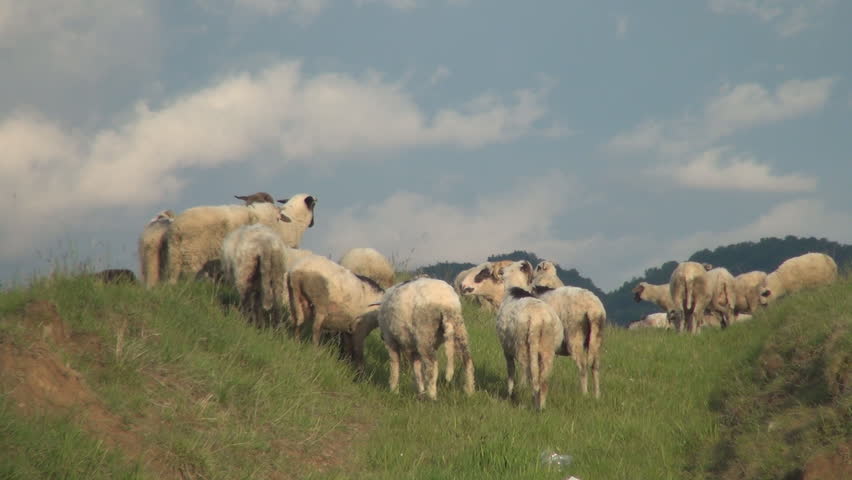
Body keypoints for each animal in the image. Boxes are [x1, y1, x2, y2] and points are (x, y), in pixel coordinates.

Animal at [163, 194, 316, 283]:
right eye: (313, 205)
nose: (312, 224)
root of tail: (178, 227)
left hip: (174, 253)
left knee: (173, 275)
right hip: (194, 253)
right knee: (190, 274)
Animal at [494, 260, 564, 410]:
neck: (515, 288)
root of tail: (540, 319)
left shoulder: (507, 349)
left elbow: (511, 371)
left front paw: (509, 393)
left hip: (523, 346)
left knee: (526, 374)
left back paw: (523, 397)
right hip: (547, 350)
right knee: (543, 381)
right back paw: (540, 407)